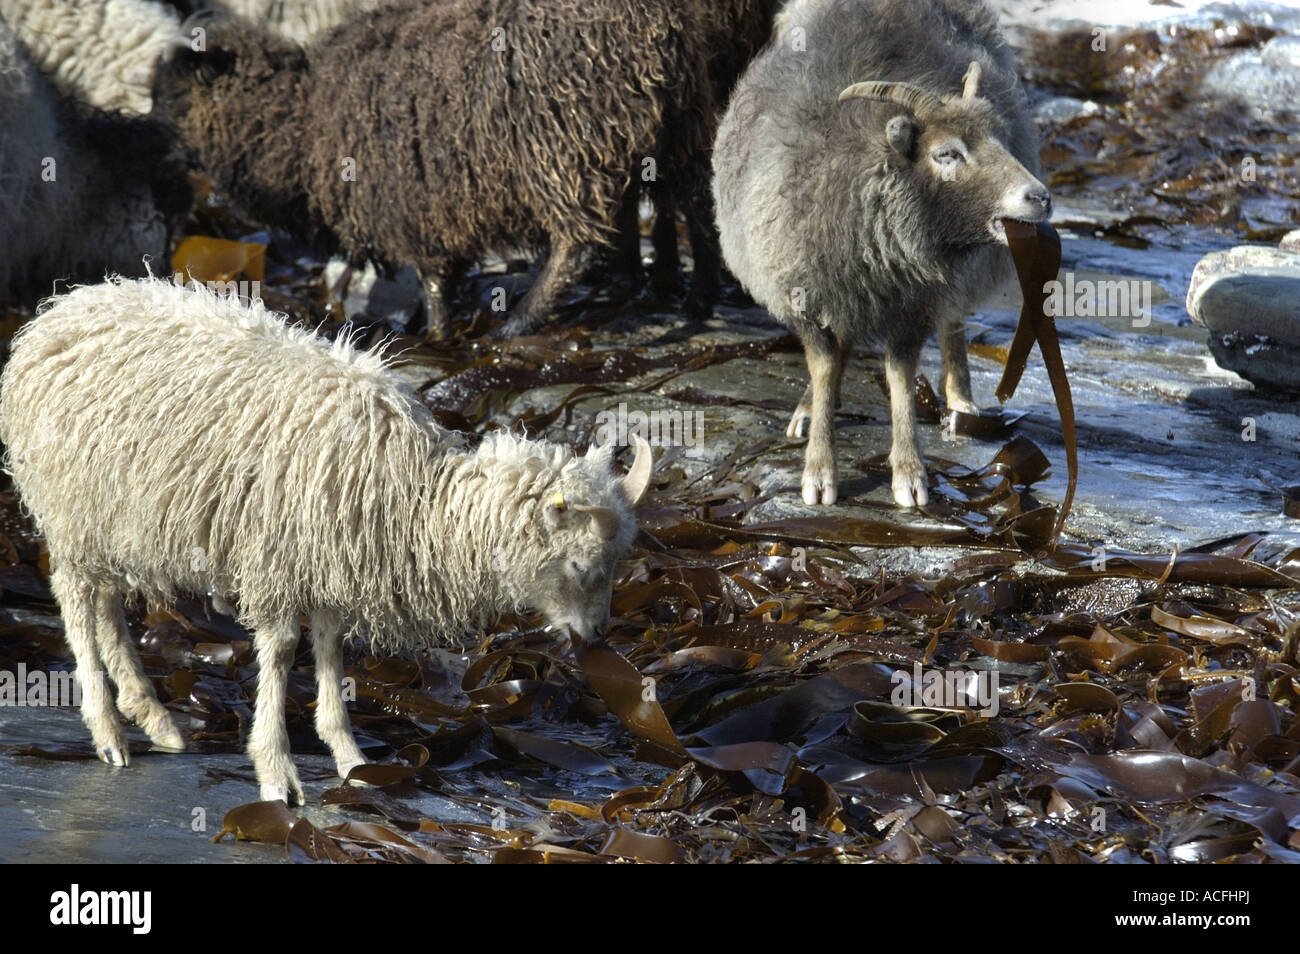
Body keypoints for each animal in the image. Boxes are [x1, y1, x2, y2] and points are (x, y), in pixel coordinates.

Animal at [0, 276, 653, 804]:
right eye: (581, 564)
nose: (596, 635)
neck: (418, 496)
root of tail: (60, 310)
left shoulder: (331, 561)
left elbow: (331, 649)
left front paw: (350, 759)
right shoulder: (278, 560)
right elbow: (282, 652)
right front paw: (276, 771)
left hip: (112, 519)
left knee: (108, 603)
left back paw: (154, 717)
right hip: (73, 510)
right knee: (76, 599)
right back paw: (108, 730)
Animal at [152, 0, 721, 337]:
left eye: (171, 99)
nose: (153, 151)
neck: (300, 118)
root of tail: (652, 29)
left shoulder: (411, 209)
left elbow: (434, 283)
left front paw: (437, 335)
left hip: (565, 148)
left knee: (577, 244)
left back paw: (522, 320)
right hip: (678, 128)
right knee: (700, 206)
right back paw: (698, 300)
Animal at [712, 0, 1051, 507]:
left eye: (1001, 143)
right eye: (947, 154)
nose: (1040, 197)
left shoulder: (917, 302)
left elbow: (900, 376)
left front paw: (909, 472)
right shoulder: (803, 291)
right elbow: (824, 365)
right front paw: (819, 468)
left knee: (953, 324)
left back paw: (961, 398)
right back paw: (810, 407)